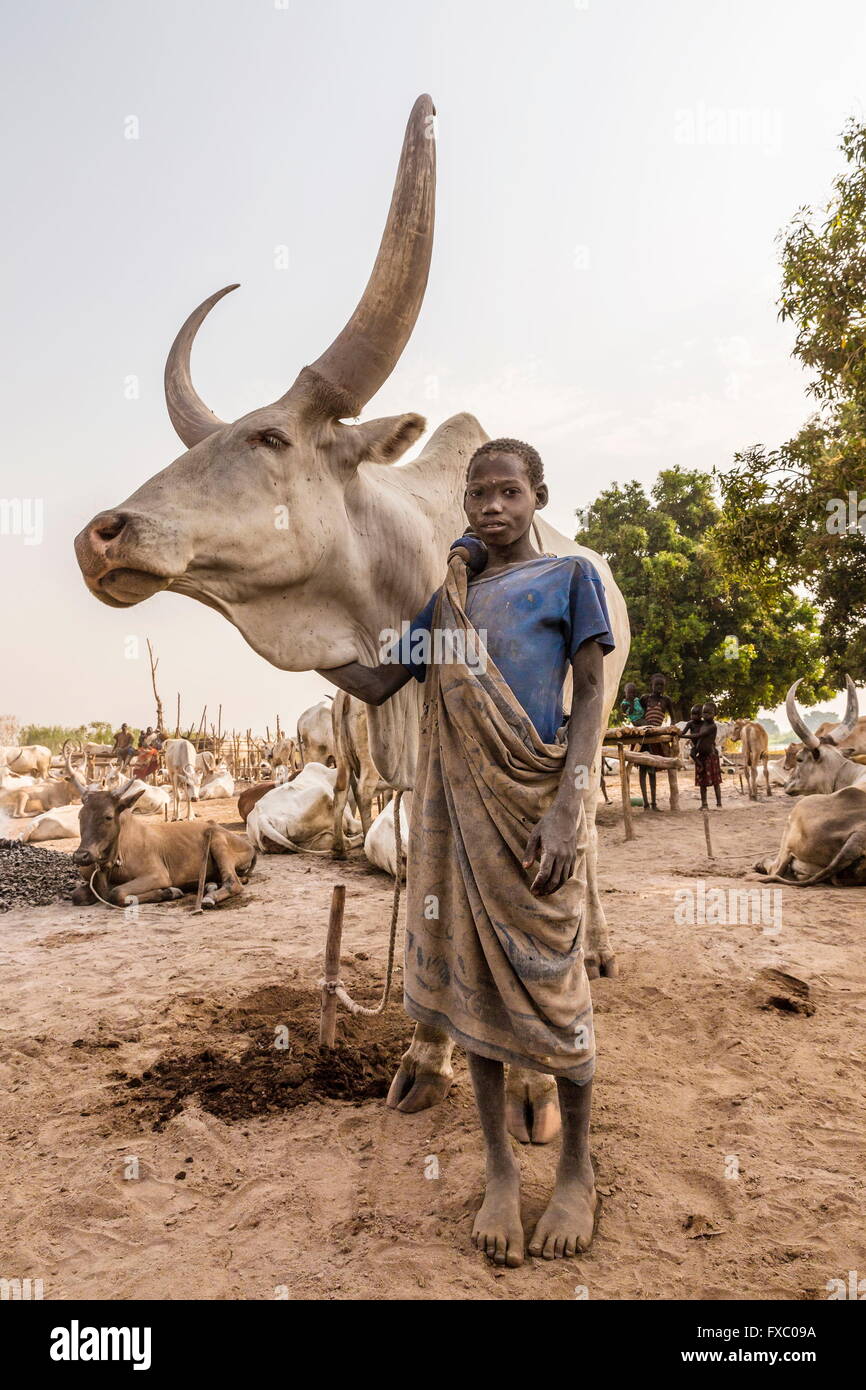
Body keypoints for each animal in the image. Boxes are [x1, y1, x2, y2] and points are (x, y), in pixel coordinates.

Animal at [65, 763, 255, 907]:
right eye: (80, 816)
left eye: (108, 816)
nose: (81, 856)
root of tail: (248, 845)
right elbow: (77, 895)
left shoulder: (157, 875)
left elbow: (116, 893)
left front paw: (170, 891)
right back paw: (209, 887)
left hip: (217, 841)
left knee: (233, 883)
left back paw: (209, 897)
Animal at [332, 690, 389, 858]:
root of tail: (343, 694)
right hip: (369, 758)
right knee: (363, 792)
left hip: (342, 757)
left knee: (340, 791)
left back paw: (338, 850)